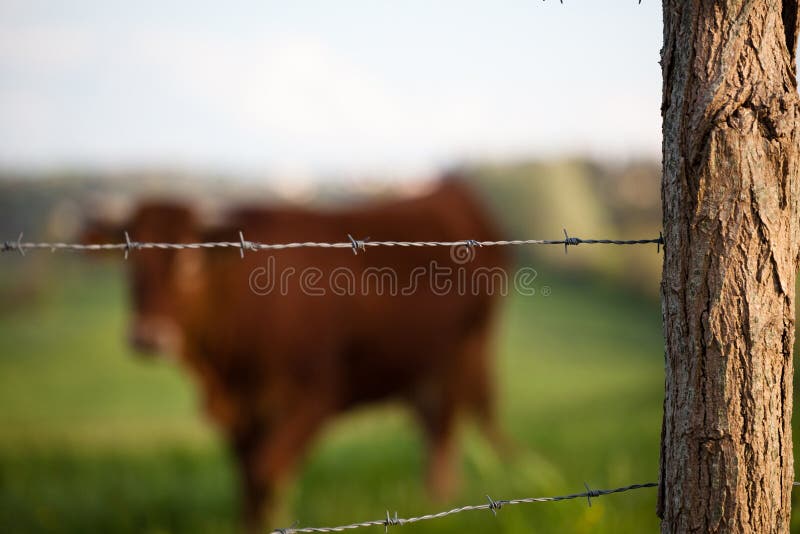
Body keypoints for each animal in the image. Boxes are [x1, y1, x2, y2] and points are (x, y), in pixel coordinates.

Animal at [84, 178, 509, 531]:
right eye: (133, 265)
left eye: (190, 263)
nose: (148, 337)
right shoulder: (241, 411)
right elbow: (248, 478)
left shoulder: (315, 396)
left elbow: (266, 469)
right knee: (431, 425)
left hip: (463, 354)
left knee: (444, 430)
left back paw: (439, 497)